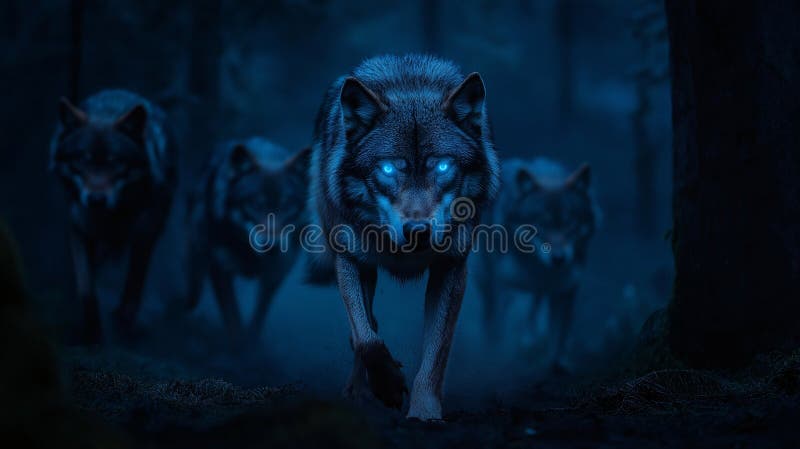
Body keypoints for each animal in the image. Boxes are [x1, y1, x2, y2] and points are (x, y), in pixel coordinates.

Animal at [50, 89, 177, 342]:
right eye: (83, 159)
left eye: (116, 162)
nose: (96, 199)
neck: (109, 219)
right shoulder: (78, 229)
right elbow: (86, 286)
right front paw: (92, 332)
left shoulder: (144, 236)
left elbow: (134, 284)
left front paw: (123, 324)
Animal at [184, 138, 310, 339]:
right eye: (256, 204)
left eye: (286, 205)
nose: (271, 246)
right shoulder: (219, 266)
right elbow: (232, 313)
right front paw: (238, 341)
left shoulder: (276, 272)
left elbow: (260, 313)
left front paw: (250, 340)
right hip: (197, 245)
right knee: (194, 282)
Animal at [309, 54, 499, 420]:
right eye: (388, 169)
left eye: (442, 166)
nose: (418, 231)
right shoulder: (349, 258)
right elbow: (366, 338)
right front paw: (387, 384)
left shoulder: (451, 267)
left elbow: (435, 352)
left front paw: (424, 412)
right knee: (366, 326)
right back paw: (357, 392)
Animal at [476, 157, 597, 369]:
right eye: (542, 224)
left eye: (570, 224)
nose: (559, 258)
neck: (541, 270)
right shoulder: (504, 287)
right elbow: (500, 328)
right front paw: (495, 358)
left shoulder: (566, 288)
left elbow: (559, 334)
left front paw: (558, 364)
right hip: (487, 280)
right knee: (490, 314)